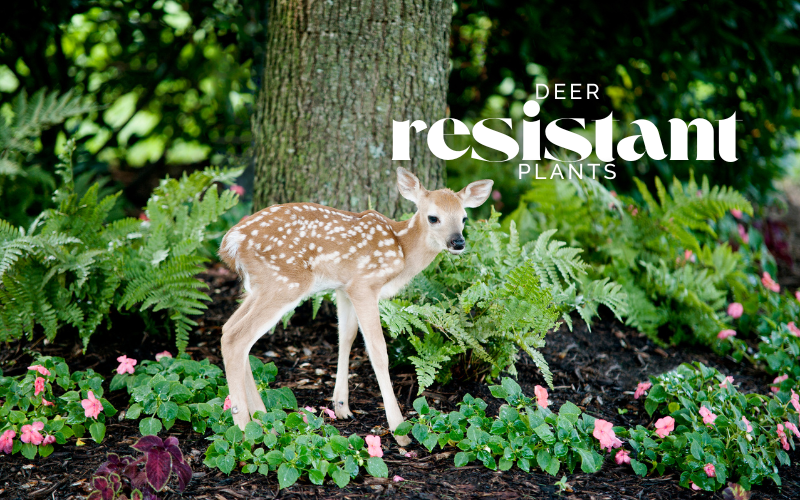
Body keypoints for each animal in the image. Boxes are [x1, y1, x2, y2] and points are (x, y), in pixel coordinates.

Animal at [218, 167, 493, 445]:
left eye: (464, 218)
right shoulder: (364, 284)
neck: (402, 251)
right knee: (237, 337)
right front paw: (399, 431)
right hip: (285, 282)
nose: (458, 242)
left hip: (258, 287)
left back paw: (264, 421)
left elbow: (346, 336)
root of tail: (231, 242)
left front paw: (341, 407)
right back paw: (244, 429)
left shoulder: (343, 287)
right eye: (433, 217)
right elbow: (378, 351)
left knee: (229, 329)